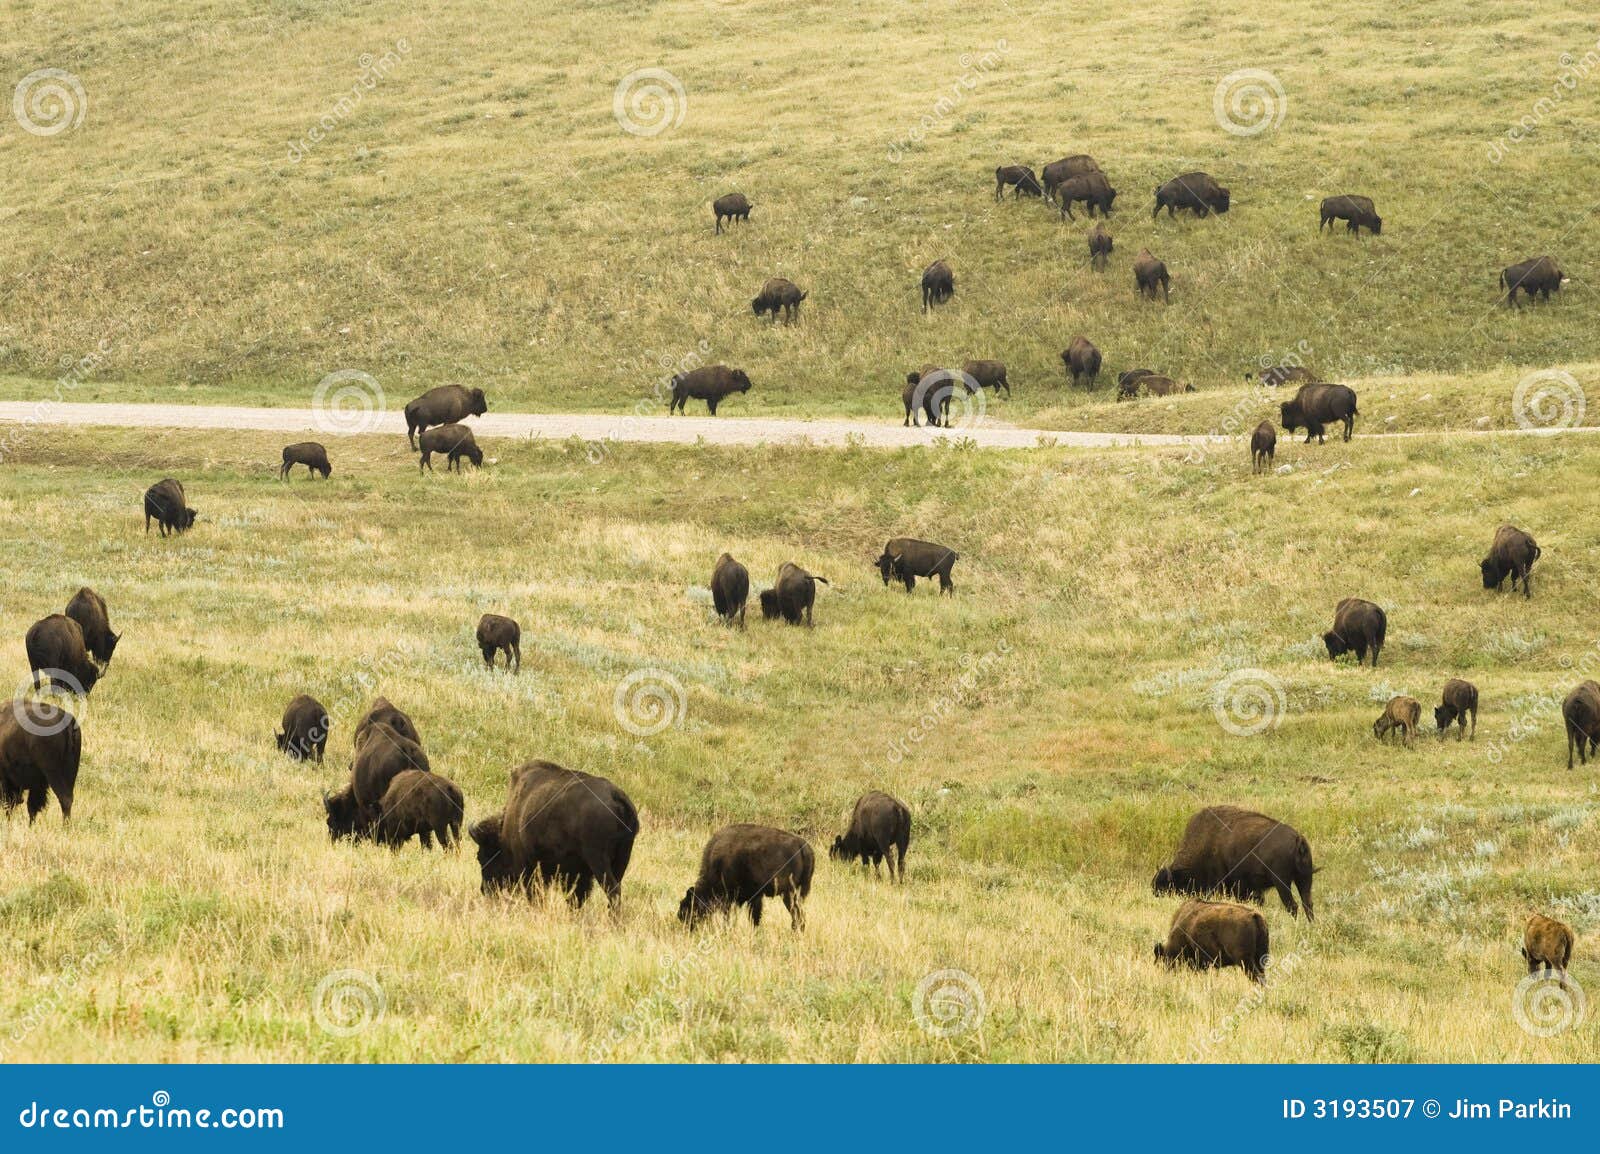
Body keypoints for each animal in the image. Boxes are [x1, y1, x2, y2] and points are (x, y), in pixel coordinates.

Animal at [470, 760, 638, 907]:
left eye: (481, 856)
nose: (485, 890)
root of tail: (616, 796)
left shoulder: (527, 867)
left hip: (598, 860)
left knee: (613, 891)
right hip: (622, 859)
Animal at [679, 823, 814, 930]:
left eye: (689, 909)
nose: (688, 928)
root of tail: (803, 846)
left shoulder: (733, 897)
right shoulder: (754, 897)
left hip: (788, 894)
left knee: (798, 916)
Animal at [1153, 805, 1316, 919]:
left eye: (1165, 887)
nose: (1155, 894)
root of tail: (1298, 838)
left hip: (1282, 883)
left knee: (1292, 906)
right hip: (1304, 879)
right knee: (1307, 903)